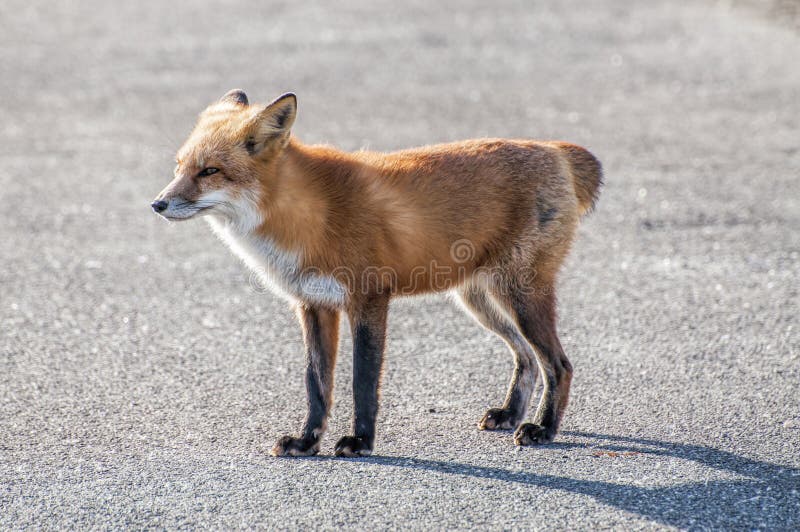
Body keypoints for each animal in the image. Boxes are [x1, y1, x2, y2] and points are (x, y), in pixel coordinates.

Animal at [151, 89, 602, 457]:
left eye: (209, 171)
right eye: (178, 167)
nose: (157, 204)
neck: (308, 216)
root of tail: (552, 149)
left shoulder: (368, 299)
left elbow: (362, 382)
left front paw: (360, 441)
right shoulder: (313, 305)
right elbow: (317, 384)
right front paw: (307, 442)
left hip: (519, 296)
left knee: (558, 365)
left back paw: (542, 428)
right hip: (478, 300)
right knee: (526, 358)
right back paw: (511, 413)